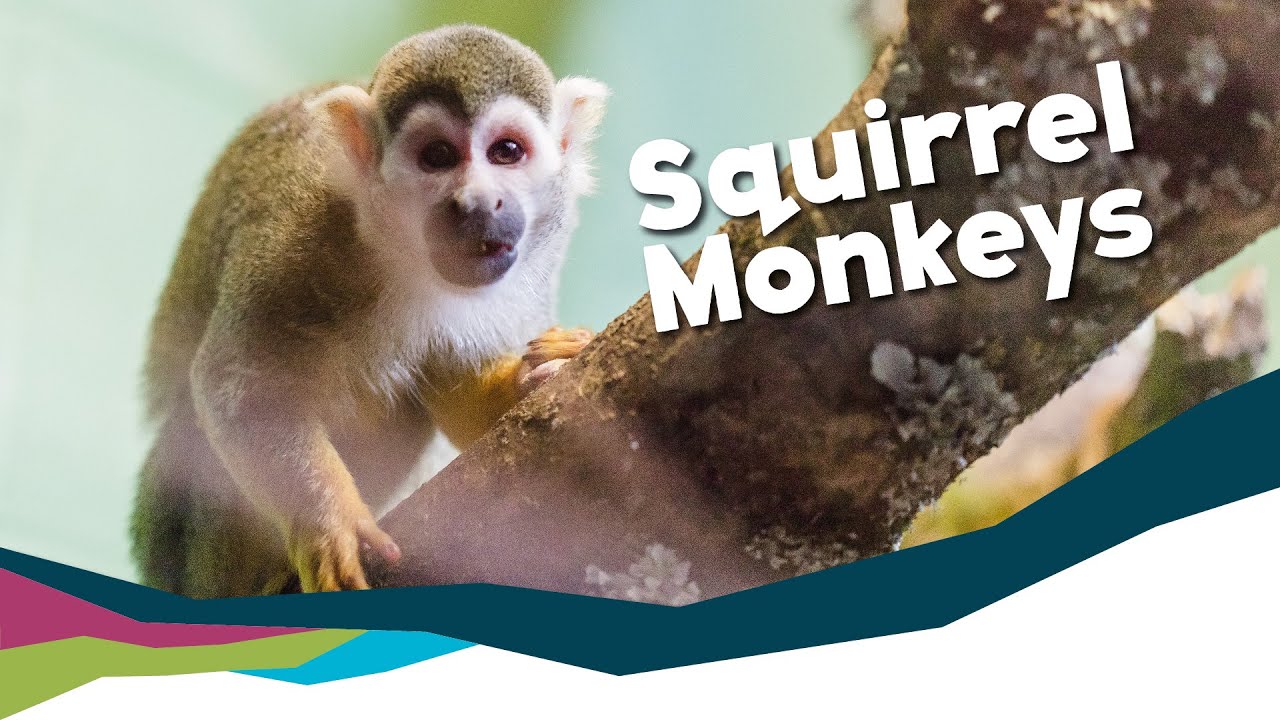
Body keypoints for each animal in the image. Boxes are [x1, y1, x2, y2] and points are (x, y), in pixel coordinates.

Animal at [130, 25, 608, 597]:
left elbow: (460, 392)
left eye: (507, 152)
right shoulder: (297, 233)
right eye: (438, 156)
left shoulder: (536, 263)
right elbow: (239, 381)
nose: (477, 201)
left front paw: (537, 375)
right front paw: (328, 521)